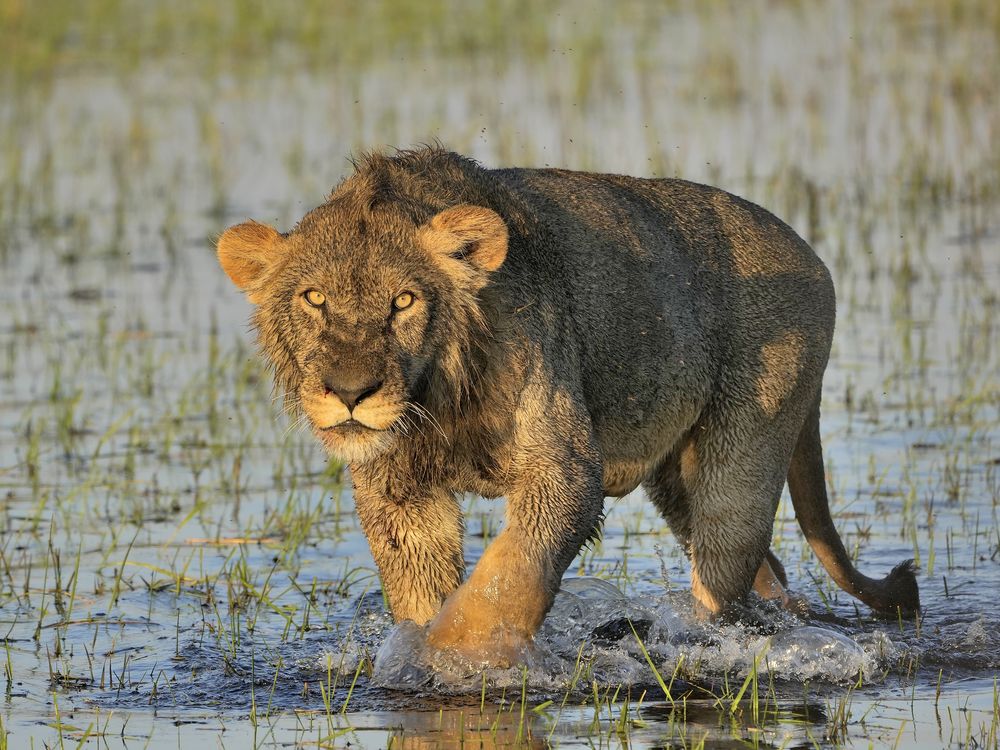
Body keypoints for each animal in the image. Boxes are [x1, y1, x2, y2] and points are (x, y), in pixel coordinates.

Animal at [216, 146, 919, 665]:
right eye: (313, 298)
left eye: (404, 302)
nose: (350, 393)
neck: (438, 401)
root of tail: (811, 253)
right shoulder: (399, 492)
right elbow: (424, 590)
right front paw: (421, 652)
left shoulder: (565, 467)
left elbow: (506, 578)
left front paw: (457, 660)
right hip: (678, 475)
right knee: (763, 575)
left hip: (741, 458)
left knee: (723, 579)